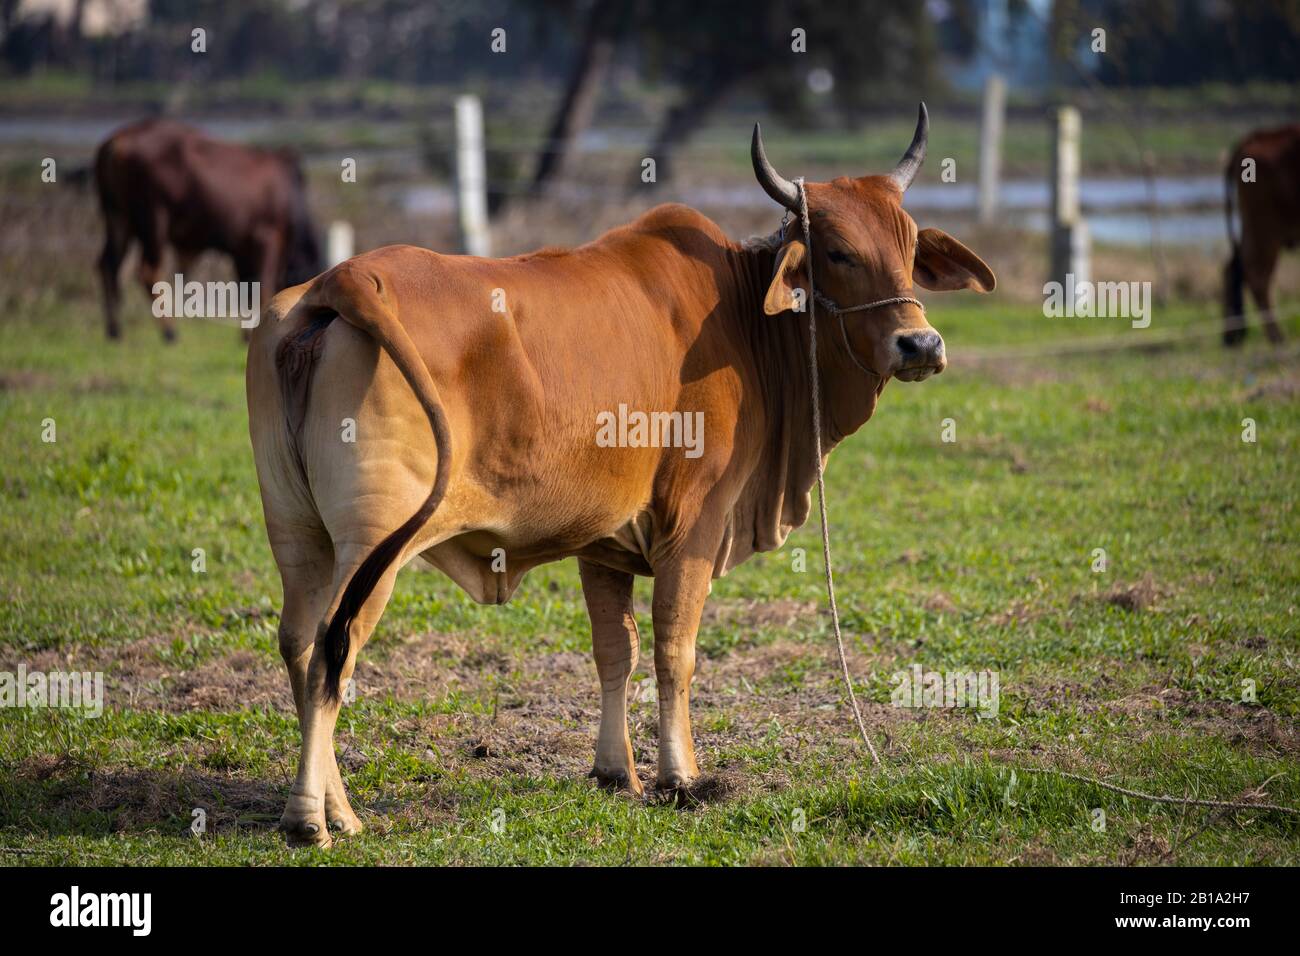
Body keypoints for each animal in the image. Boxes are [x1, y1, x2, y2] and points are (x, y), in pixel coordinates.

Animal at [94, 118, 322, 342]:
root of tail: (119, 138)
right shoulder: (267, 238)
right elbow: (262, 287)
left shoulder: (241, 250)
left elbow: (247, 289)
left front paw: (246, 333)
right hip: (153, 219)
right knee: (148, 271)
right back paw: (169, 331)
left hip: (118, 218)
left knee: (108, 265)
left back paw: (114, 330)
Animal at [247, 104, 995, 846]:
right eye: (837, 252)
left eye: (908, 248)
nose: (920, 344)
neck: (744, 320)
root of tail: (339, 281)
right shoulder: (693, 527)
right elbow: (674, 651)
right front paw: (681, 777)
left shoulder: (602, 542)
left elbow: (616, 652)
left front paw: (616, 772)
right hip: (372, 543)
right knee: (333, 649)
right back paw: (312, 817)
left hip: (297, 533)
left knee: (297, 646)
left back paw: (333, 807)